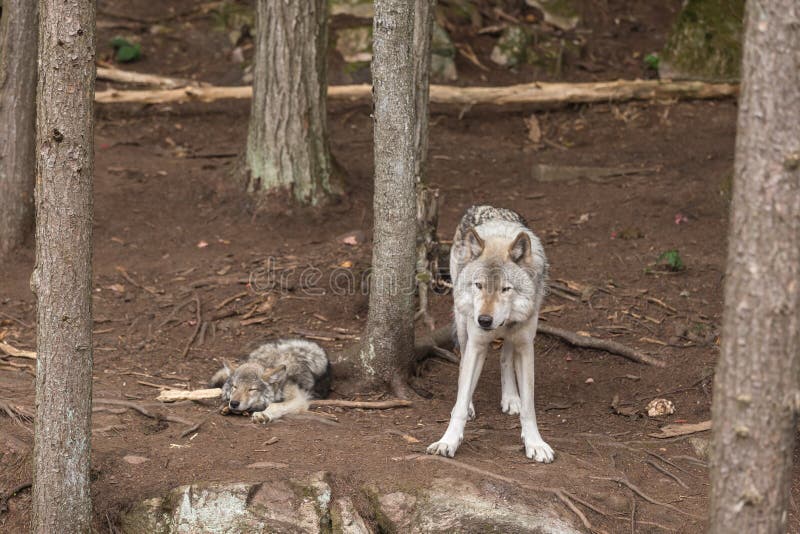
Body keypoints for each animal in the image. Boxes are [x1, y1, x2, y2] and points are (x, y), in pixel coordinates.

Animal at [427, 205, 554, 462]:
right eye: (479, 285)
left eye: (505, 289)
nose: (484, 320)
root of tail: (483, 206)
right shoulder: (477, 344)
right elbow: (462, 396)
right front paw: (448, 441)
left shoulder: (525, 346)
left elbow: (529, 407)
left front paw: (534, 443)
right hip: (463, 324)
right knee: (463, 364)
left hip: (513, 338)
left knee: (505, 358)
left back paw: (511, 397)